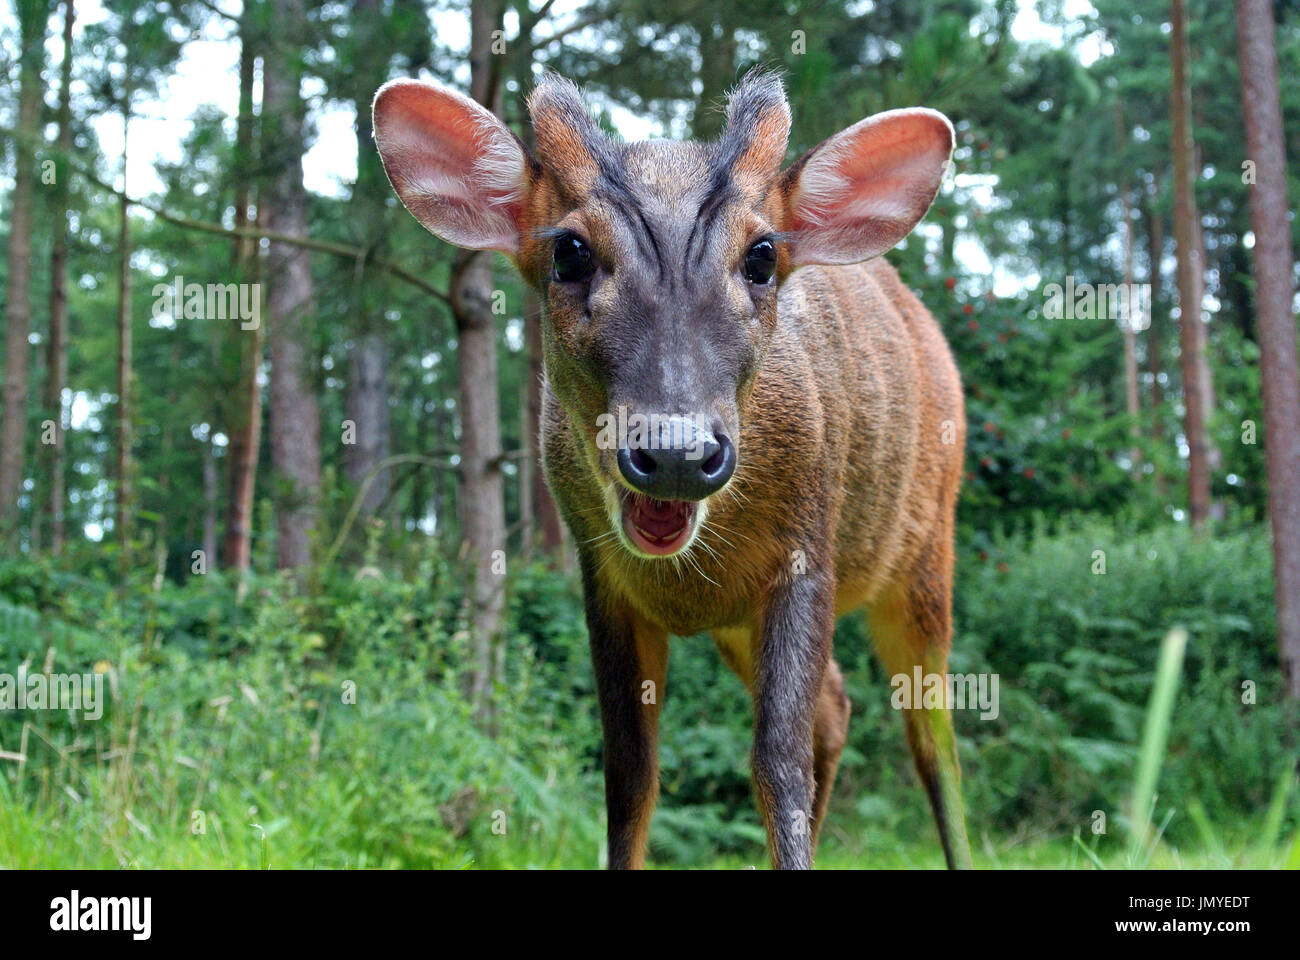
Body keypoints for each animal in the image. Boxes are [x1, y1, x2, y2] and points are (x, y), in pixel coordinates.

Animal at [372, 68, 972, 870]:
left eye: (761, 256)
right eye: (569, 252)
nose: (679, 453)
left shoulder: (807, 551)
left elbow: (776, 766)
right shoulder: (603, 578)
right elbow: (631, 776)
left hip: (926, 551)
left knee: (932, 739)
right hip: (746, 623)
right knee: (838, 706)